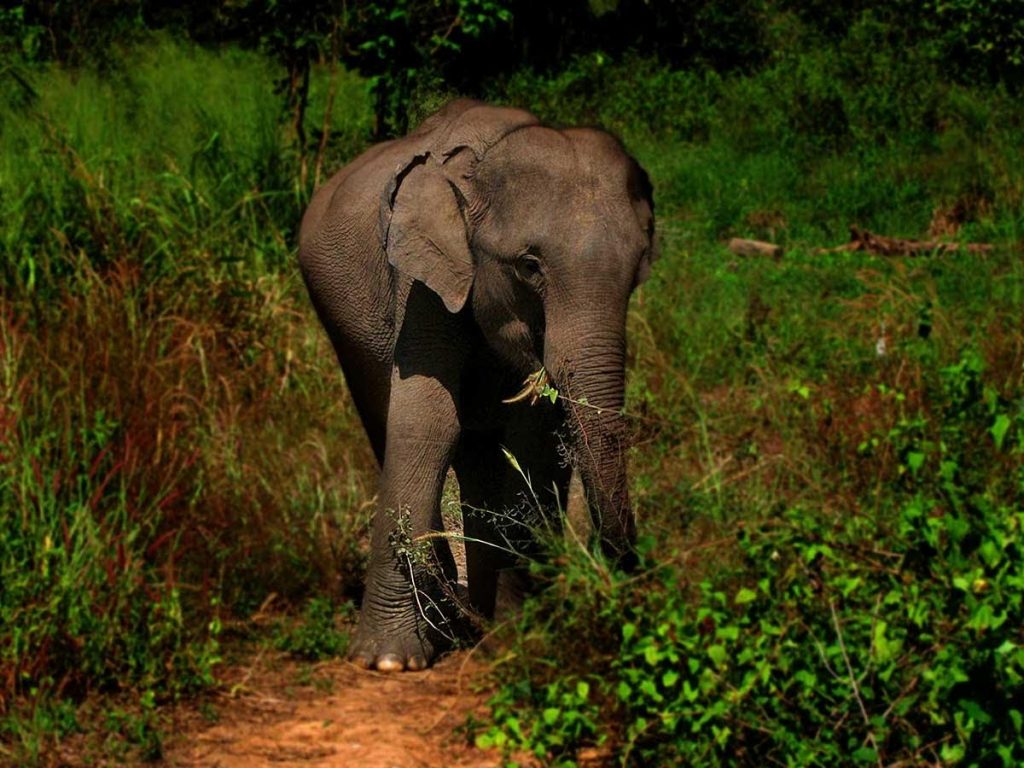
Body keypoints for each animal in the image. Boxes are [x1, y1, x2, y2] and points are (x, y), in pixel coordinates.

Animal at [298, 99, 655, 672]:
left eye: (639, 269)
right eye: (529, 266)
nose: (628, 572)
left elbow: (535, 440)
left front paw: (516, 634)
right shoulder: (422, 279)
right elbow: (428, 424)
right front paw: (390, 661)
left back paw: (477, 622)